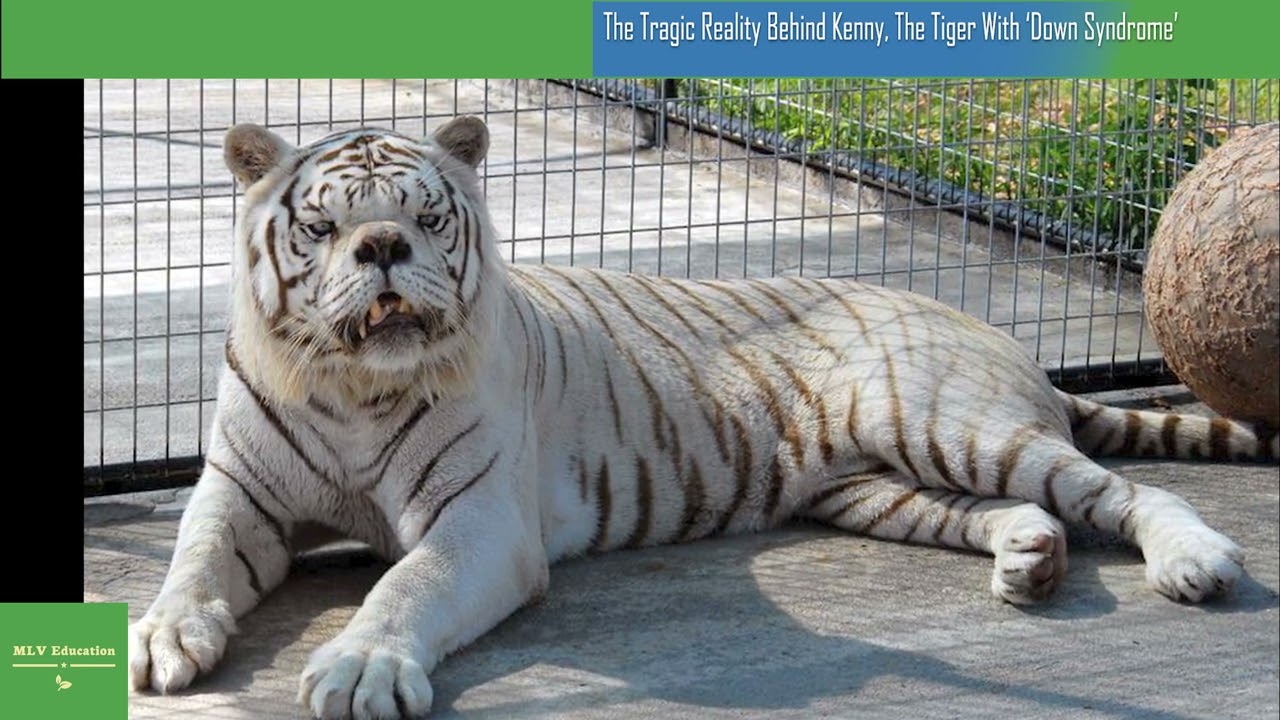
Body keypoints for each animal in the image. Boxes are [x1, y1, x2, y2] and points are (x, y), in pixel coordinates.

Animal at [127, 115, 1279, 720]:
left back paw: (1195, 562)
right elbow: (191, 562)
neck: (351, 386)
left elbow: (404, 585)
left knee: (1124, 490)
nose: (381, 251)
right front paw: (160, 636)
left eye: (425, 218)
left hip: (947, 424)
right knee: (1019, 513)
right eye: (324, 227)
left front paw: (361, 668)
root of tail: (980, 325)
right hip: (877, 488)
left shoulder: (478, 522)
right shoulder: (239, 495)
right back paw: (1029, 562)